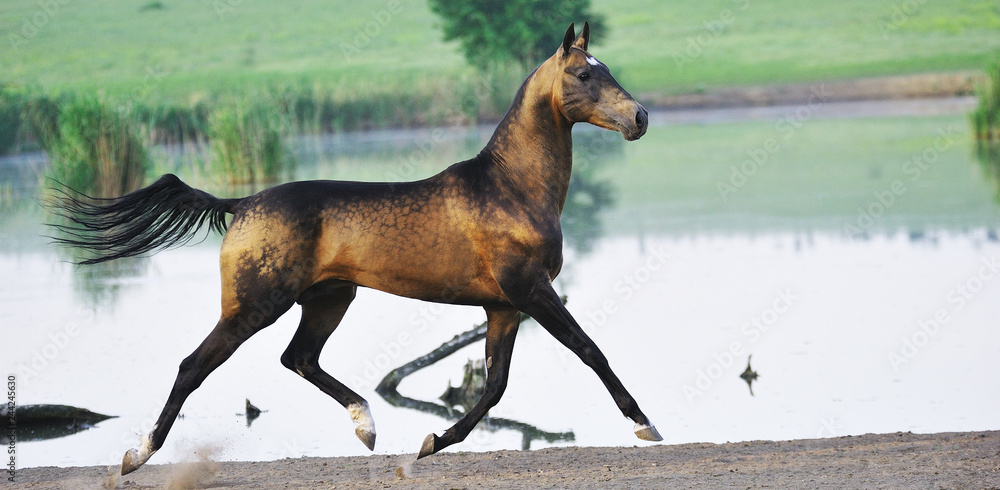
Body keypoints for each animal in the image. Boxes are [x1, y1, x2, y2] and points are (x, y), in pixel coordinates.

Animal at [50, 22, 661, 475]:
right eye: (583, 72)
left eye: (607, 69)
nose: (640, 118)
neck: (511, 189)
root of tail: (241, 203)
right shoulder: (531, 291)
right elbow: (590, 351)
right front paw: (645, 425)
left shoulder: (503, 306)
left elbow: (494, 388)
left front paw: (431, 441)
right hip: (254, 305)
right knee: (193, 366)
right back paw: (135, 456)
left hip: (329, 298)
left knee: (299, 358)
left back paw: (366, 426)